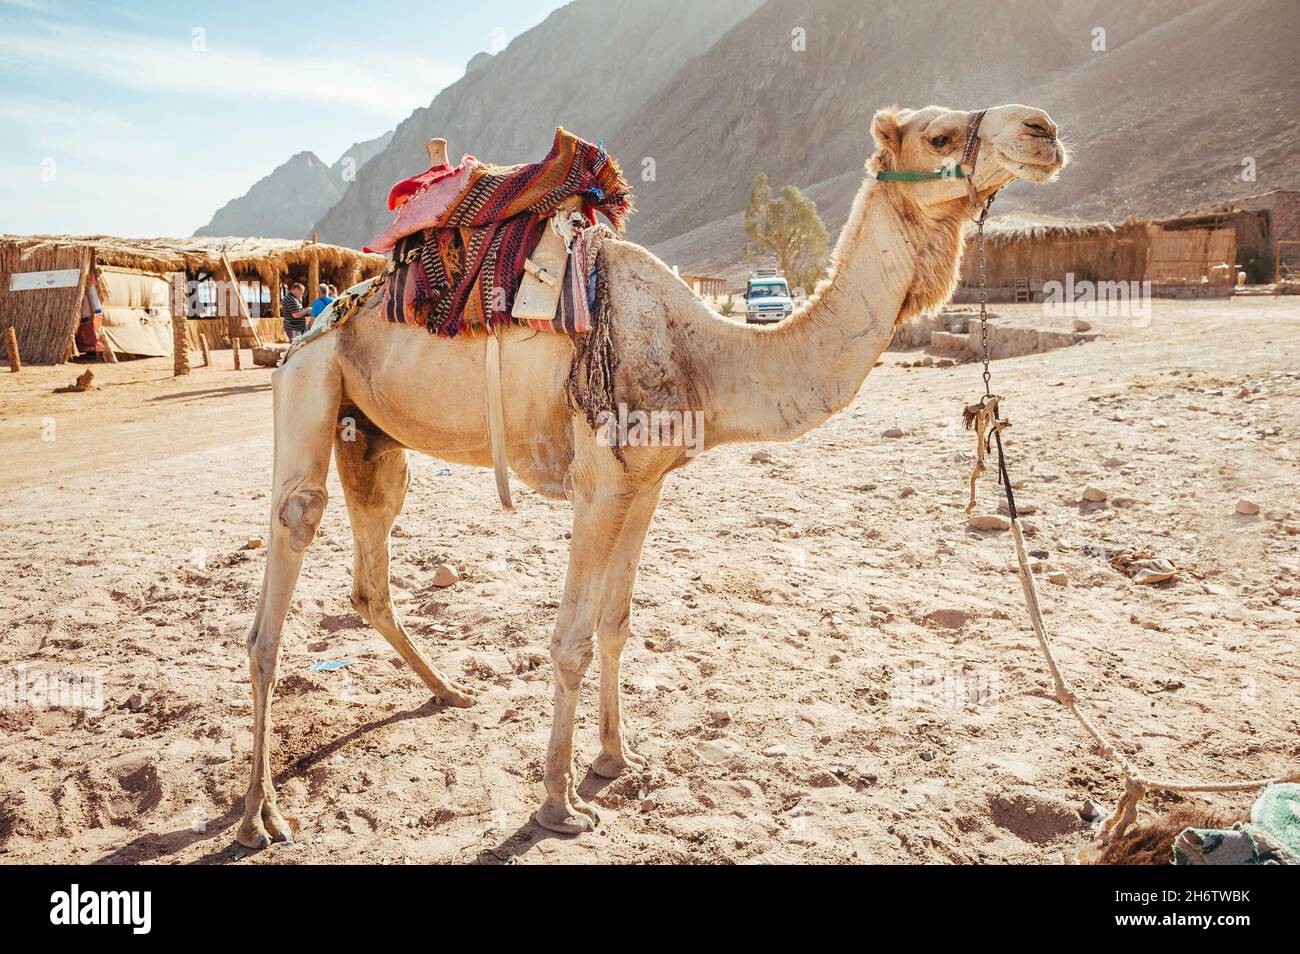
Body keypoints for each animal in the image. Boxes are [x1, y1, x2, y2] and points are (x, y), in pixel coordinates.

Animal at [236, 102, 1067, 848]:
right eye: (940, 134)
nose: (1043, 130)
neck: (705, 356)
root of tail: (326, 311)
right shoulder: (599, 486)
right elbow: (569, 640)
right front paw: (558, 805)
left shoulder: (647, 485)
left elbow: (617, 623)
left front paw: (613, 757)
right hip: (309, 388)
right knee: (284, 560)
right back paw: (260, 814)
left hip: (372, 438)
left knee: (370, 573)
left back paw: (449, 690)